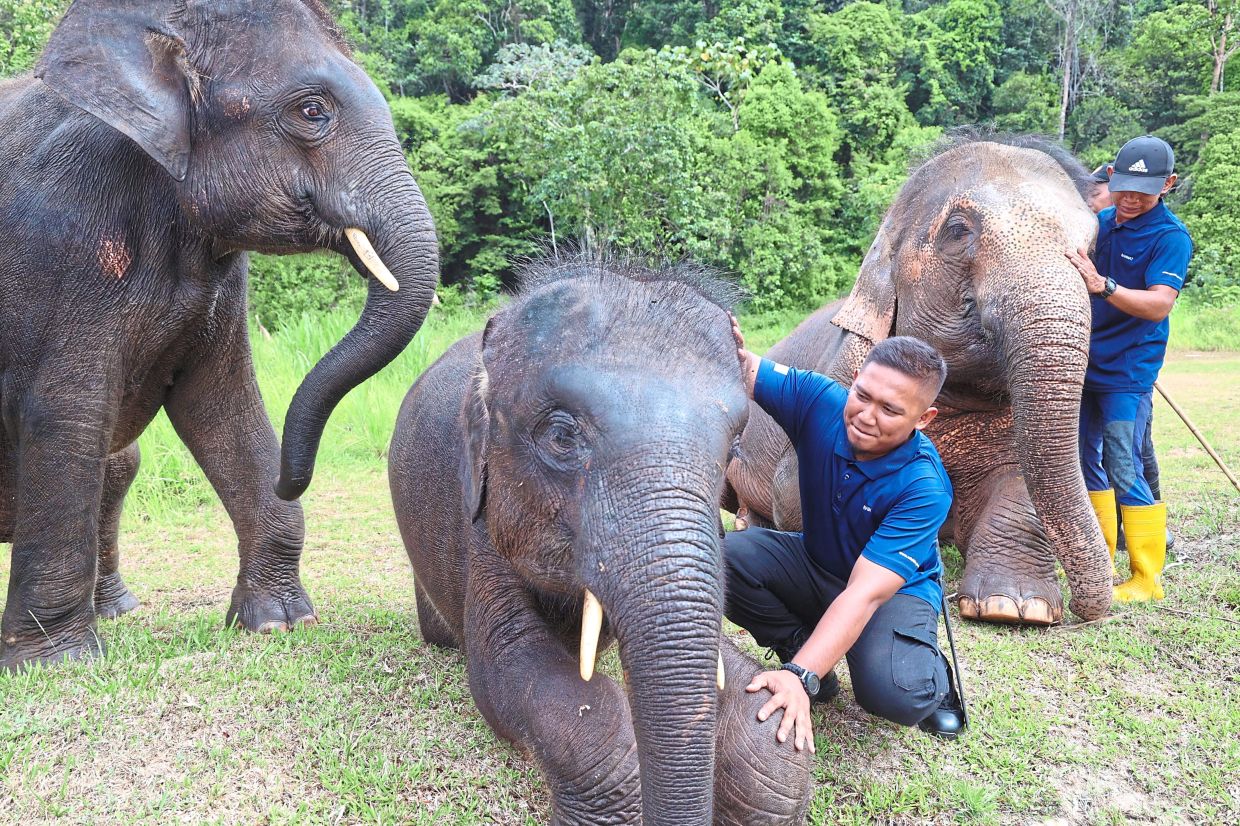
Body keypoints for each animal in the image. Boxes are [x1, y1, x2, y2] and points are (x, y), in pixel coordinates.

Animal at [0, 0, 439, 671]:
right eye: (313, 110)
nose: (292, 475)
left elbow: (219, 402)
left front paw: (279, 624)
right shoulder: (66, 248)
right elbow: (68, 416)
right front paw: (58, 666)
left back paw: (119, 611)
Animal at [389, 252, 813, 826]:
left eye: (734, 446)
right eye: (561, 436)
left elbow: (764, 736)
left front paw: (779, 700)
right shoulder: (479, 526)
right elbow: (506, 667)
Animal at [726, 135, 1113, 626]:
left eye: (1092, 244)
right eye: (958, 231)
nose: (1089, 611)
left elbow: (1019, 482)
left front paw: (1014, 606)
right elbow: (793, 492)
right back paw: (744, 523)